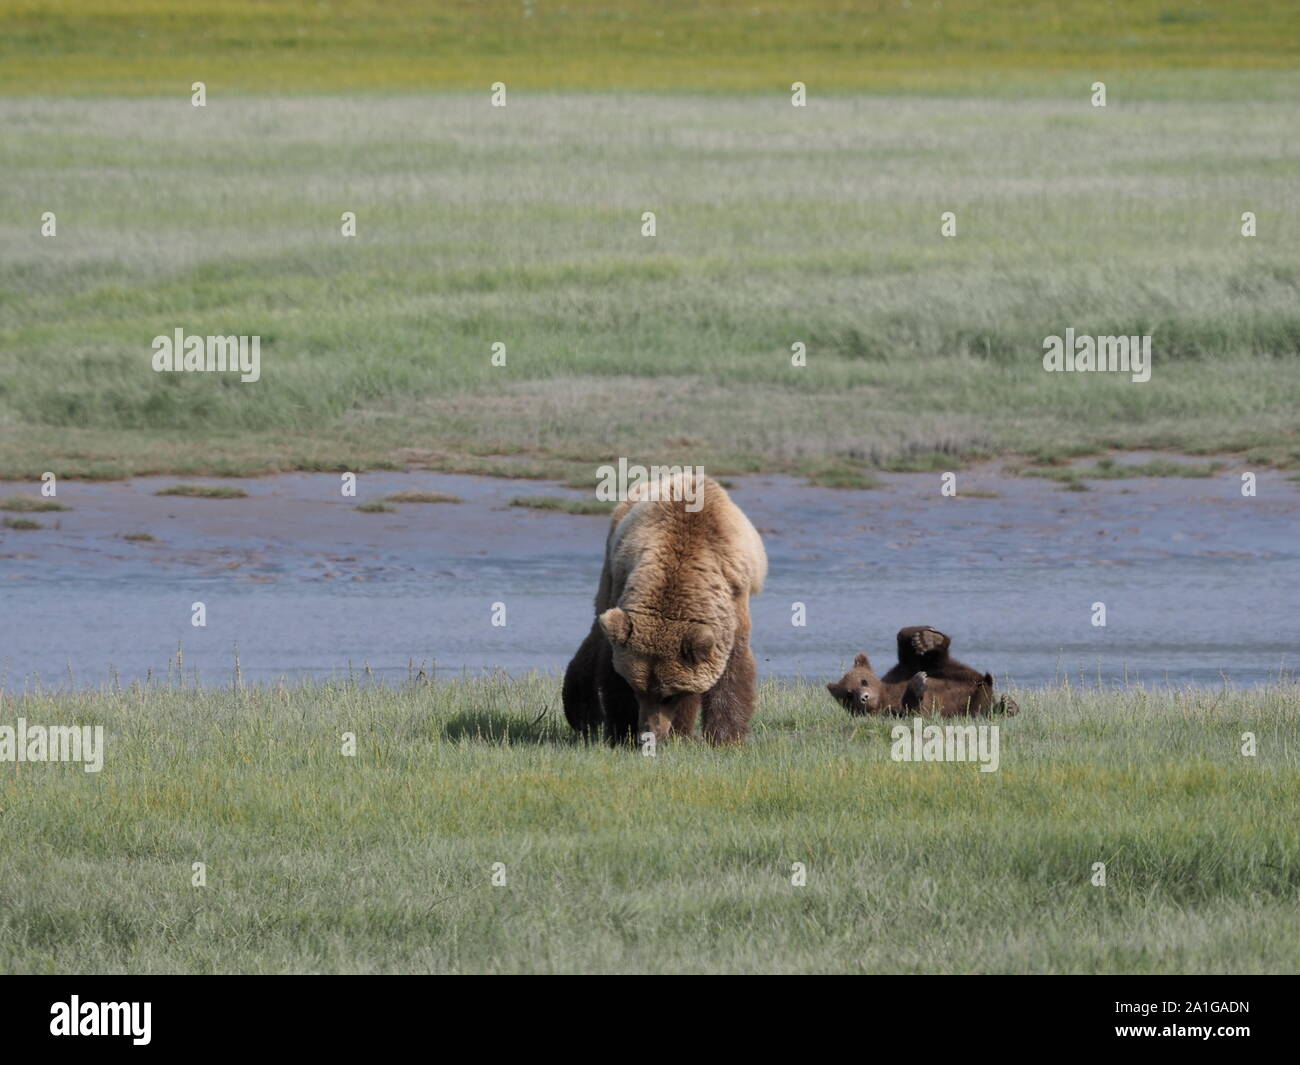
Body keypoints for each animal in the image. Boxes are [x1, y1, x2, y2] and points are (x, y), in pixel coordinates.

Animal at [563, 472, 766, 746]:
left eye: (669, 694)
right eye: (636, 688)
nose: (649, 732)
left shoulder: (732, 601)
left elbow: (733, 669)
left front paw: (725, 737)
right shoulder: (624, 584)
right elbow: (611, 669)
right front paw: (622, 731)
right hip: (609, 569)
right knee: (597, 630)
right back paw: (583, 713)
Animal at [826, 626, 1018, 718]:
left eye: (863, 680)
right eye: (849, 694)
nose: (864, 697)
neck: (883, 696)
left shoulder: (899, 672)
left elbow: (907, 655)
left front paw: (922, 637)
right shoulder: (890, 712)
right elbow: (914, 710)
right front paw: (917, 683)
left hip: (958, 673)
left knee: (941, 662)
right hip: (969, 705)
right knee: (981, 710)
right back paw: (1006, 706)